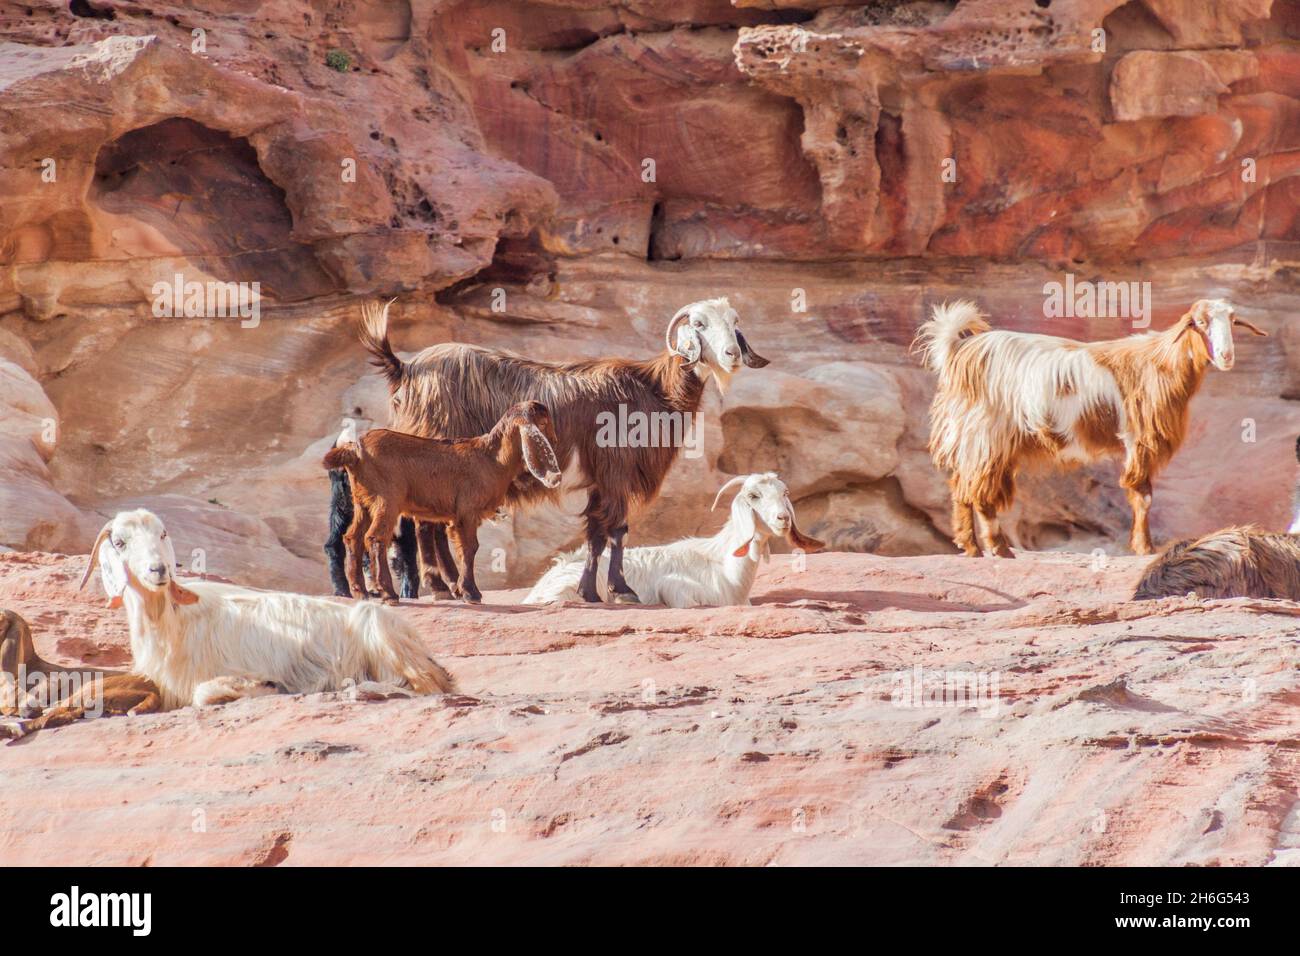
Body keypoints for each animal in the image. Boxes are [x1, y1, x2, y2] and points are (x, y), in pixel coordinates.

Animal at [79, 509, 456, 710]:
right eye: (119, 542)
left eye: (162, 535)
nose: (158, 570)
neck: (172, 621)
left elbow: (204, 692)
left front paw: (263, 687)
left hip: (381, 633)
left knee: (427, 687)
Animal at [323, 401, 562, 604]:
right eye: (543, 422)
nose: (555, 441)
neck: (492, 459)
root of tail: (354, 450)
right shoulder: (467, 511)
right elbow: (469, 547)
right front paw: (471, 593)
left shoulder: (453, 517)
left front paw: (461, 590)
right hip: (386, 501)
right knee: (375, 538)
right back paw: (388, 593)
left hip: (362, 502)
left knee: (353, 537)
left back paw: (360, 591)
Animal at [915, 298, 1265, 557]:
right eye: (1201, 323)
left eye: (1233, 321)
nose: (1226, 356)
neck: (1161, 363)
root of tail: (959, 350)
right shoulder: (1138, 439)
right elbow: (1143, 496)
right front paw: (1145, 548)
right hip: (987, 434)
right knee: (979, 491)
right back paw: (998, 549)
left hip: (974, 438)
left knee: (962, 487)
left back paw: (971, 547)